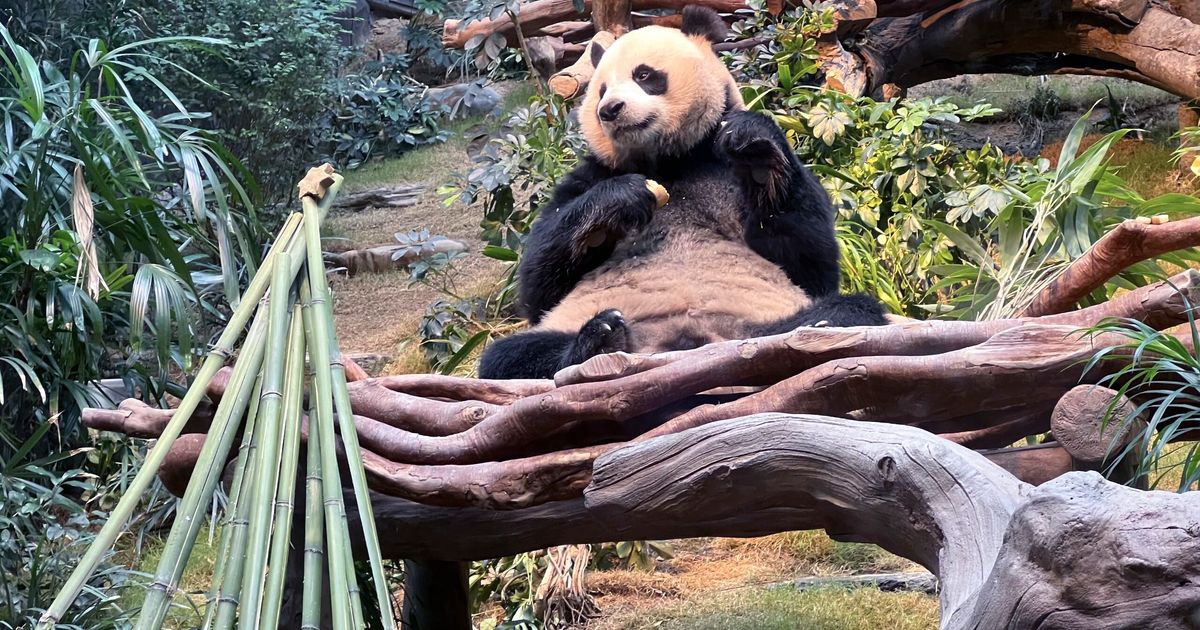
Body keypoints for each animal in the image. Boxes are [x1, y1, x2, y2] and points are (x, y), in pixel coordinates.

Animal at [478, 6, 887, 380]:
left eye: (644, 75)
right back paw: (599, 339)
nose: (610, 109)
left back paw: (811, 328)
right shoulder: (588, 176)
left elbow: (810, 262)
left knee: (850, 309)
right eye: (601, 89)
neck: (667, 161)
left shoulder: (721, 165)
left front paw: (756, 151)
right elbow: (540, 283)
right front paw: (619, 202)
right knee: (509, 356)